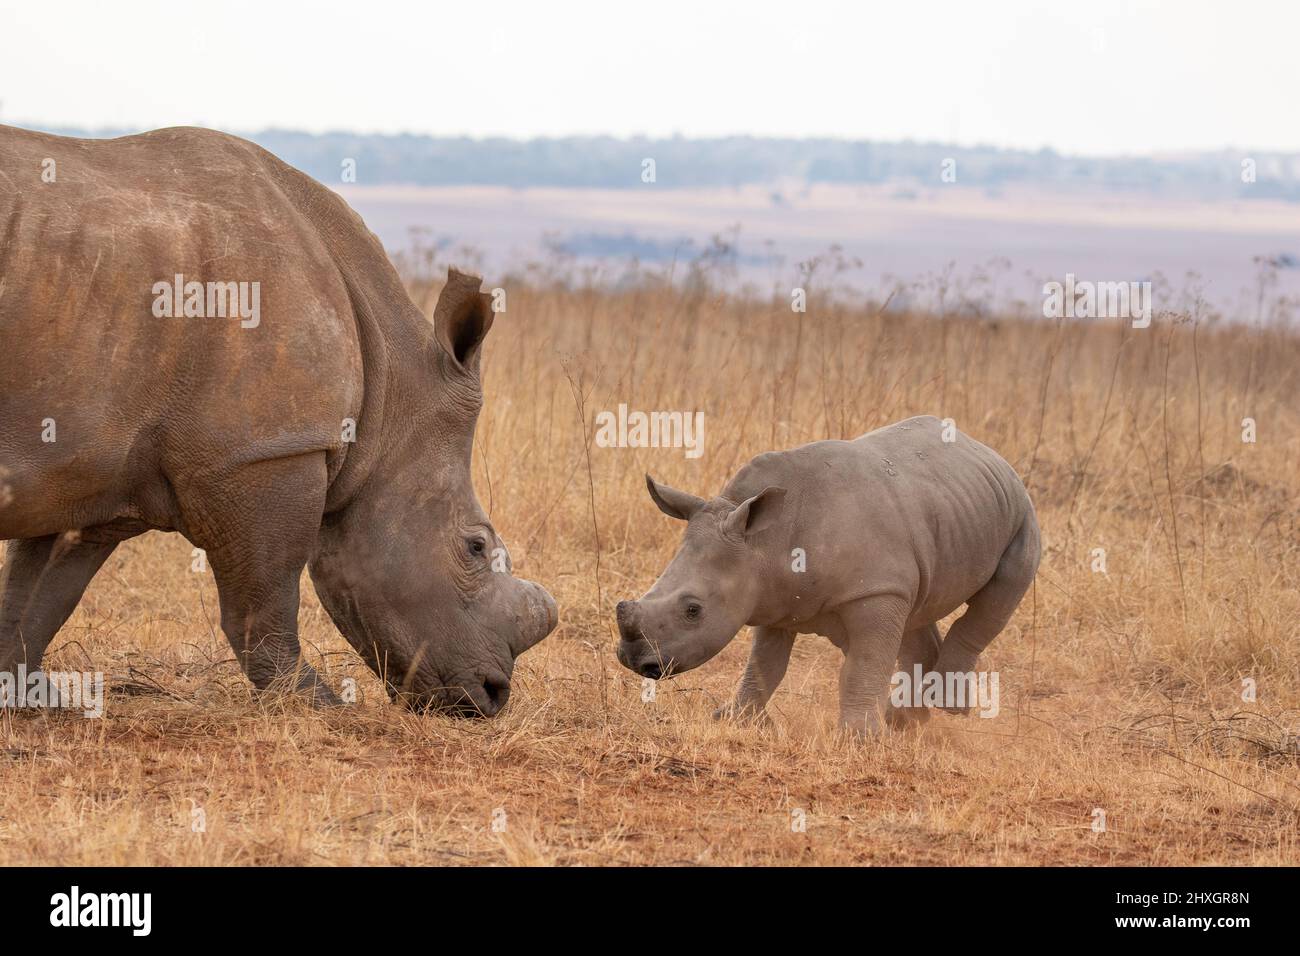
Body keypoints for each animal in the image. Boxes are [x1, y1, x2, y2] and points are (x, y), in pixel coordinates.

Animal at [0, 124, 556, 715]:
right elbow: (265, 599)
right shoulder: (262, 453)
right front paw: (321, 707)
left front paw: (35, 701)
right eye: (475, 548)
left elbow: (38, 594)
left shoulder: (86, 467)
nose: (493, 695)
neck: (392, 392)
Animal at [615, 415, 1040, 735]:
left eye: (693, 610)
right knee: (916, 613)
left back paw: (944, 709)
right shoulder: (772, 595)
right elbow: (765, 665)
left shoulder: (874, 592)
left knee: (994, 600)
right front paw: (734, 721)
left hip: (1021, 513)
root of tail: (988, 452)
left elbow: (864, 665)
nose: (634, 661)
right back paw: (905, 721)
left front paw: (859, 738)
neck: (764, 542)